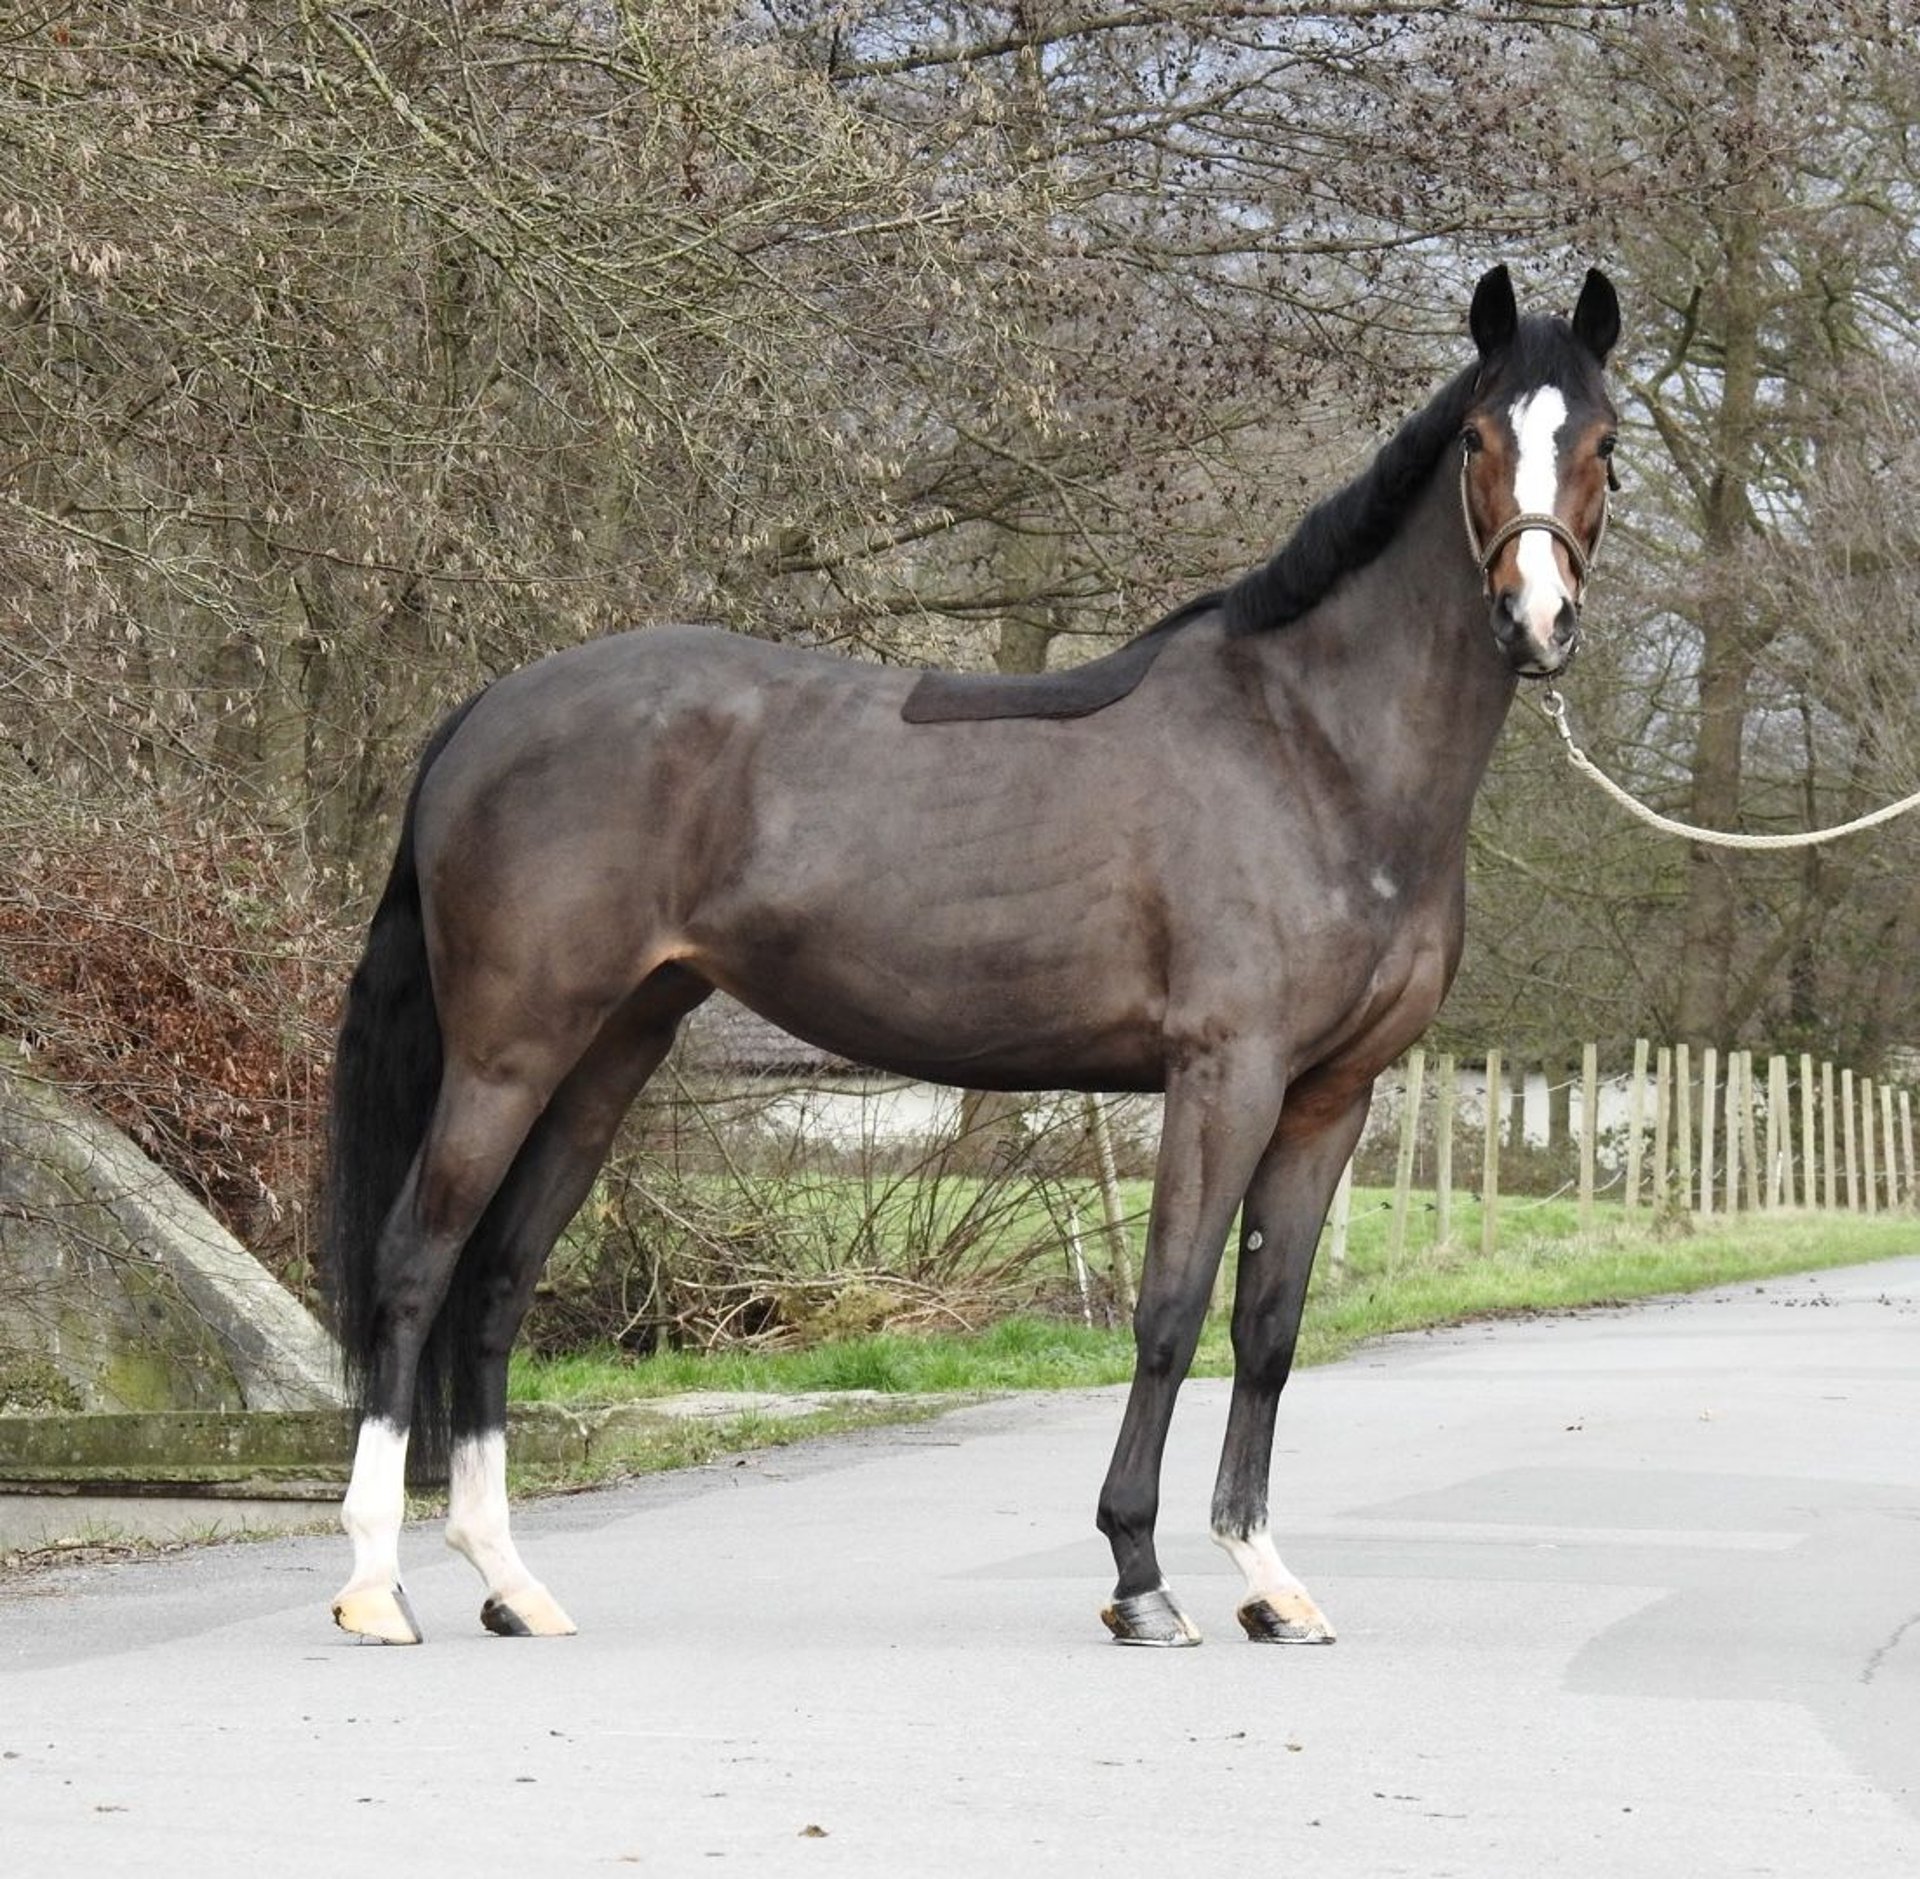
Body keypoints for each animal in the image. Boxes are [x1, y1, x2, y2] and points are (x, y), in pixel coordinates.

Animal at [324, 263, 1621, 1647]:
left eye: (1604, 441)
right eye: (1479, 439)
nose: (1535, 620)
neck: (1312, 747)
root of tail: (487, 713)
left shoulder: (1332, 1095)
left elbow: (1268, 1330)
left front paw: (1269, 1581)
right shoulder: (1227, 1074)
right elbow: (1169, 1313)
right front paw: (1139, 1575)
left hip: (609, 1050)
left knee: (499, 1279)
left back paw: (508, 1579)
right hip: (509, 1052)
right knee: (416, 1266)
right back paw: (374, 1585)